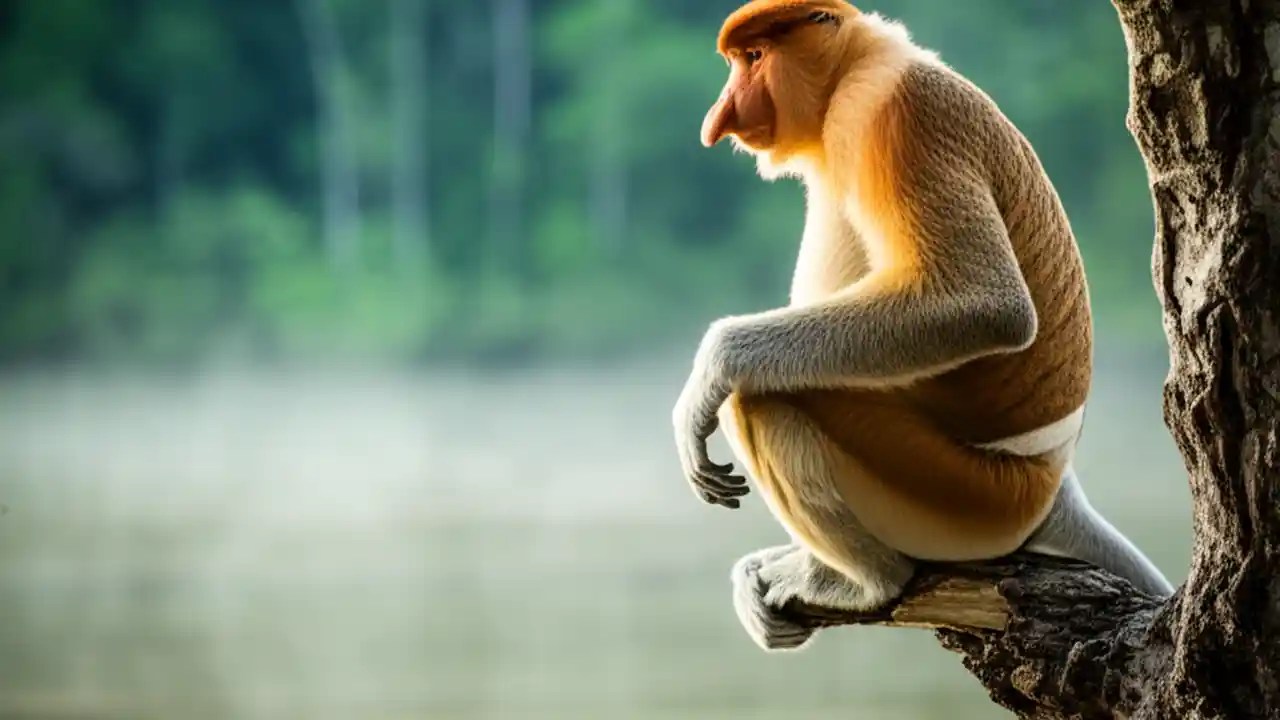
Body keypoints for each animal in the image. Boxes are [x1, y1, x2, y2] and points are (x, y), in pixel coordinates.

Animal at [671, 0, 1174, 652]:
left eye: (754, 57)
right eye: (736, 61)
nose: (719, 118)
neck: (860, 62)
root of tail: (1053, 488)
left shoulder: (895, 115)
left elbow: (986, 303)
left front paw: (710, 370)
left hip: (960, 495)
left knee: (765, 395)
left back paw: (860, 581)